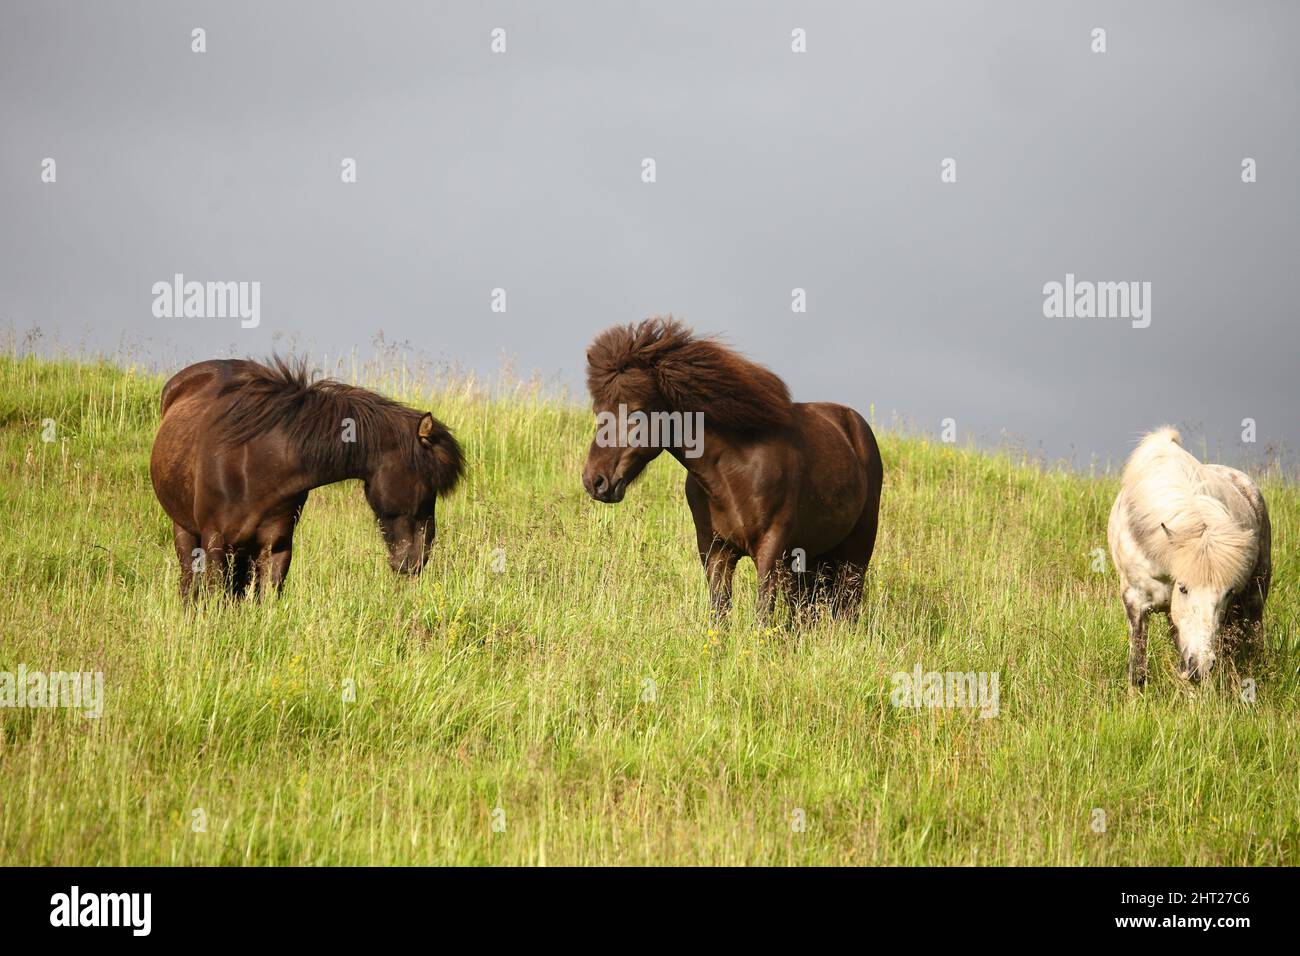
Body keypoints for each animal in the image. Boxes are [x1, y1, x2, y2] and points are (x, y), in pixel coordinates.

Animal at [149, 357, 463, 599]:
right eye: (427, 484)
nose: (417, 561)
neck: (253, 463)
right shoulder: (215, 542)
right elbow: (215, 596)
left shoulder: (277, 546)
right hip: (185, 531)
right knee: (189, 583)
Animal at [581, 317, 883, 622]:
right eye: (598, 410)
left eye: (636, 412)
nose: (595, 481)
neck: (732, 471)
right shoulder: (715, 552)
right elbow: (720, 612)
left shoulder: (771, 549)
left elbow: (762, 614)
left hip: (856, 552)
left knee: (847, 605)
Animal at [1108, 427, 1270, 686]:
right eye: (1183, 588)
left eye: (1227, 592)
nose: (1203, 665)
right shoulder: (1135, 602)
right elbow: (1138, 668)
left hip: (1256, 593)